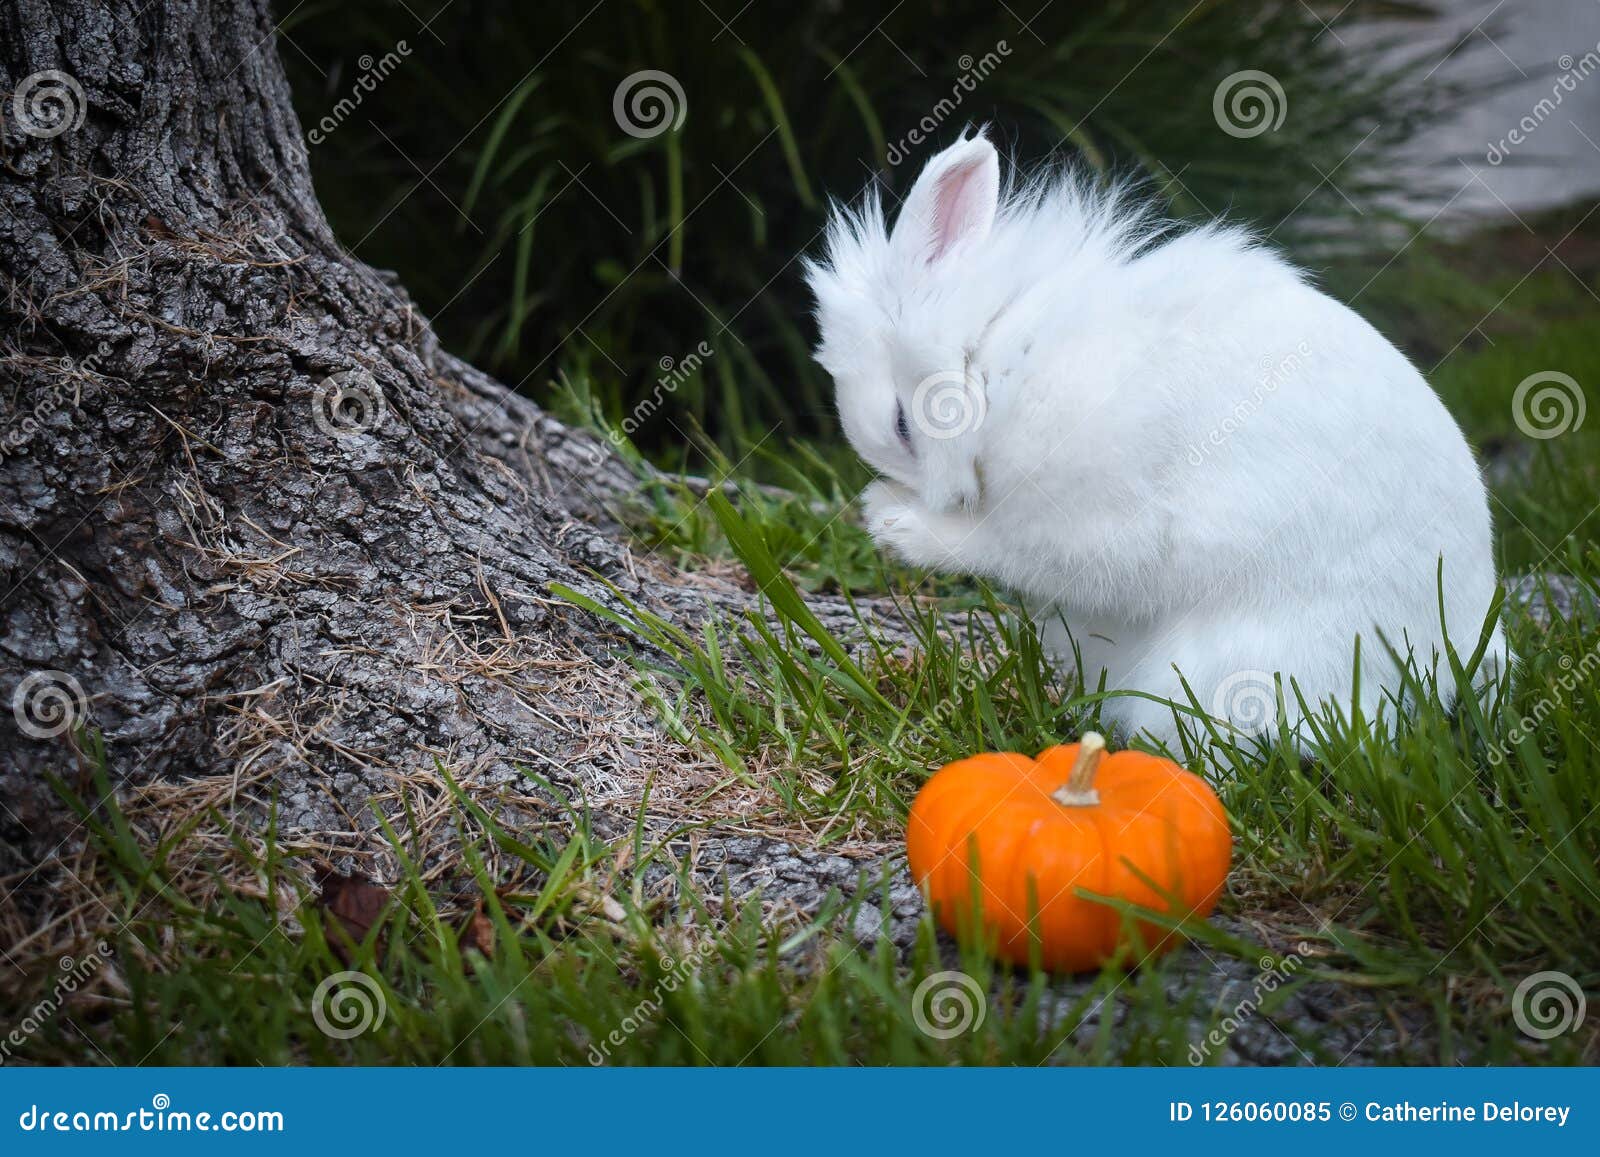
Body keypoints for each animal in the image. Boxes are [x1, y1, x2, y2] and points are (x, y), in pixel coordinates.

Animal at [804, 130, 1506, 752]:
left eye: (903, 424)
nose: (943, 499)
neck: (996, 355)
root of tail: (1453, 660)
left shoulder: (1090, 521)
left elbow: (1006, 547)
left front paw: (896, 524)